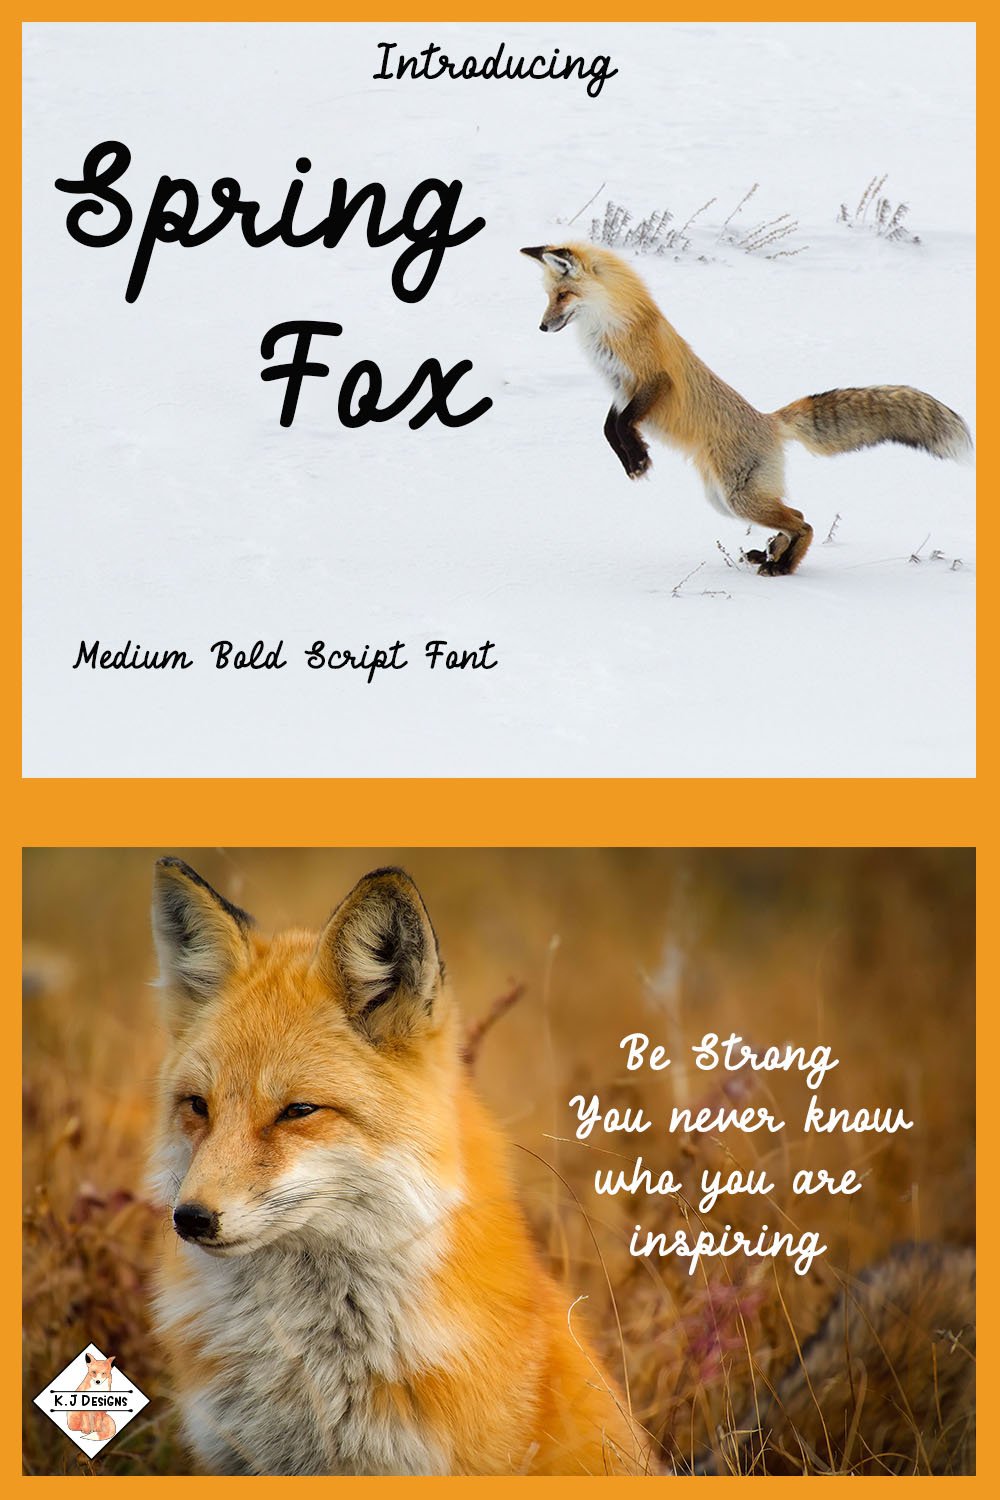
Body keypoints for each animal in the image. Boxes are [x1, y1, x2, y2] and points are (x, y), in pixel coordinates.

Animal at [521, 242, 972, 575]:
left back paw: (782, 565)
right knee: (795, 514)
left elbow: (624, 425)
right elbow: (610, 428)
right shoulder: (619, 391)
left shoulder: (653, 381)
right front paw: (634, 459)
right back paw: (771, 554)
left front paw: (639, 459)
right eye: (548, 296)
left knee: (804, 520)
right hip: (724, 499)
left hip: (738, 498)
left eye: (563, 295)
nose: (541, 326)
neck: (610, 328)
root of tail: (769, 421)